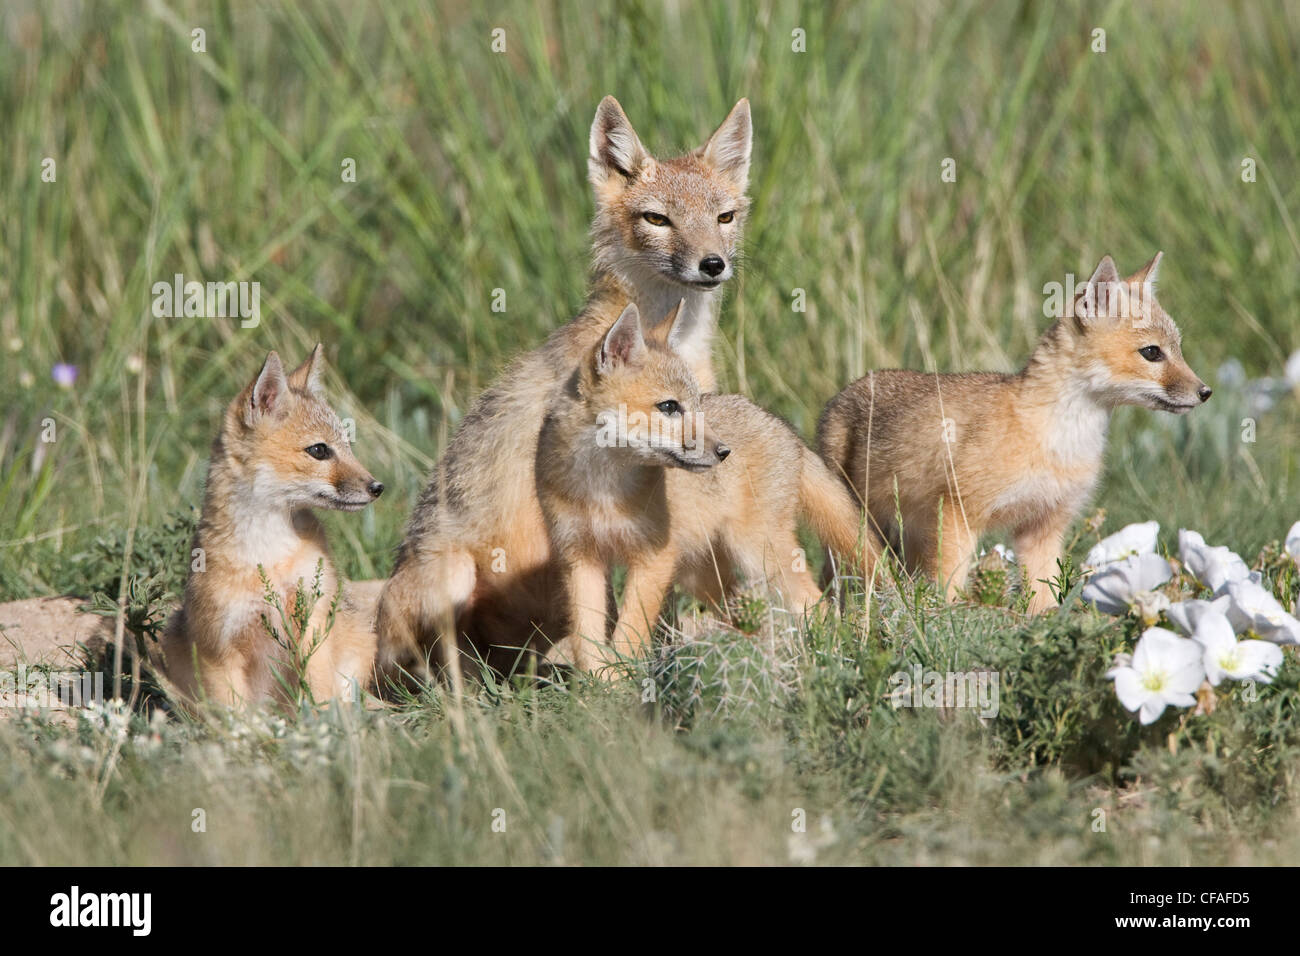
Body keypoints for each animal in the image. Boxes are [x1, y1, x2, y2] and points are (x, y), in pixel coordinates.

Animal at [161, 346, 386, 709]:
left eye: (348, 447)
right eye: (319, 450)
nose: (378, 487)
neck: (270, 556)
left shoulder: (313, 629)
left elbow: (319, 698)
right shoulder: (219, 649)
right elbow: (236, 716)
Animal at [538, 302, 874, 672]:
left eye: (697, 405)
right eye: (669, 407)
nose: (724, 451)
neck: (600, 490)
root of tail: (783, 427)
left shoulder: (653, 559)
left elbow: (628, 635)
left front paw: (621, 677)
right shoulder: (580, 559)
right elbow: (588, 642)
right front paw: (599, 684)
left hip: (756, 554)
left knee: (817, 605)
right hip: (700, 574)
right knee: (741, 611)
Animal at [817, 252, 1212, 615]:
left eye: (1177, 349)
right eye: (1152, 353)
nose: (1205, 392)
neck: (1055, 437)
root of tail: (844, 391)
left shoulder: (1042, 529)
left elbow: (1043, 603)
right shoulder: (960, 514)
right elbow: (948, 589)